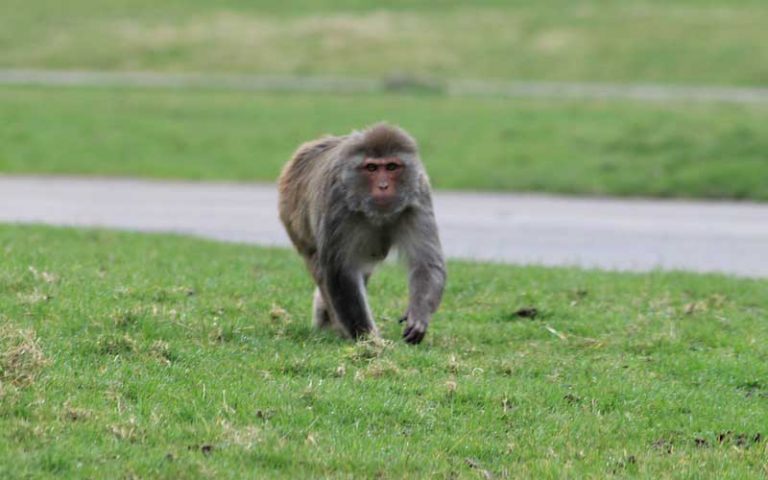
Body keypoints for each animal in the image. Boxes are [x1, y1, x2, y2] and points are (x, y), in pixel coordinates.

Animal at [278, 123, 446, 344]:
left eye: (391, 167)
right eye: (372, 168)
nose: (383, 186)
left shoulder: (418, 197)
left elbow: (426, 262)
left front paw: (418, 316)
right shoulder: (337, 203)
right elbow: (341, 271)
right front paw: (369, 339)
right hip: (293, 215)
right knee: (321, 267)